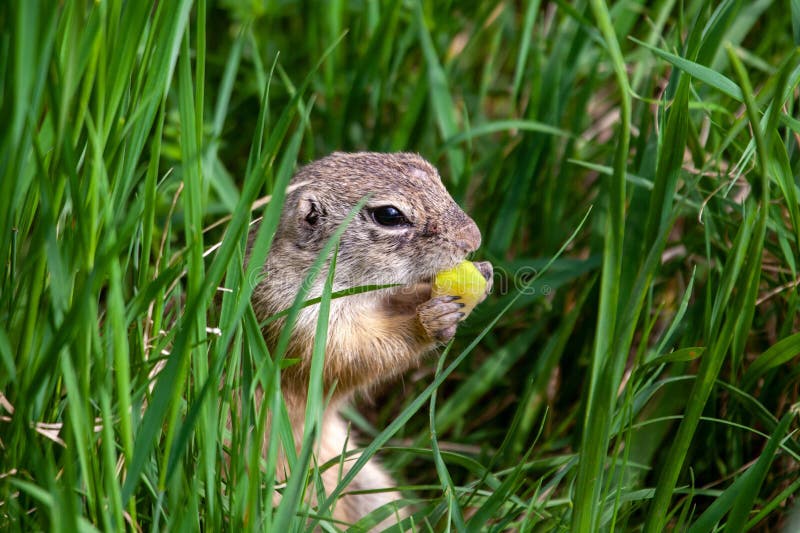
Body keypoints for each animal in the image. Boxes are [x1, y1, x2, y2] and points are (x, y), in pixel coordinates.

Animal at [248, 152, 493, 526]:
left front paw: (481, 275)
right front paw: (431, 320)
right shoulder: (300, 323)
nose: (473, 238)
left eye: (428, 169)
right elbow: (360, 355)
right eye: (389, 215)